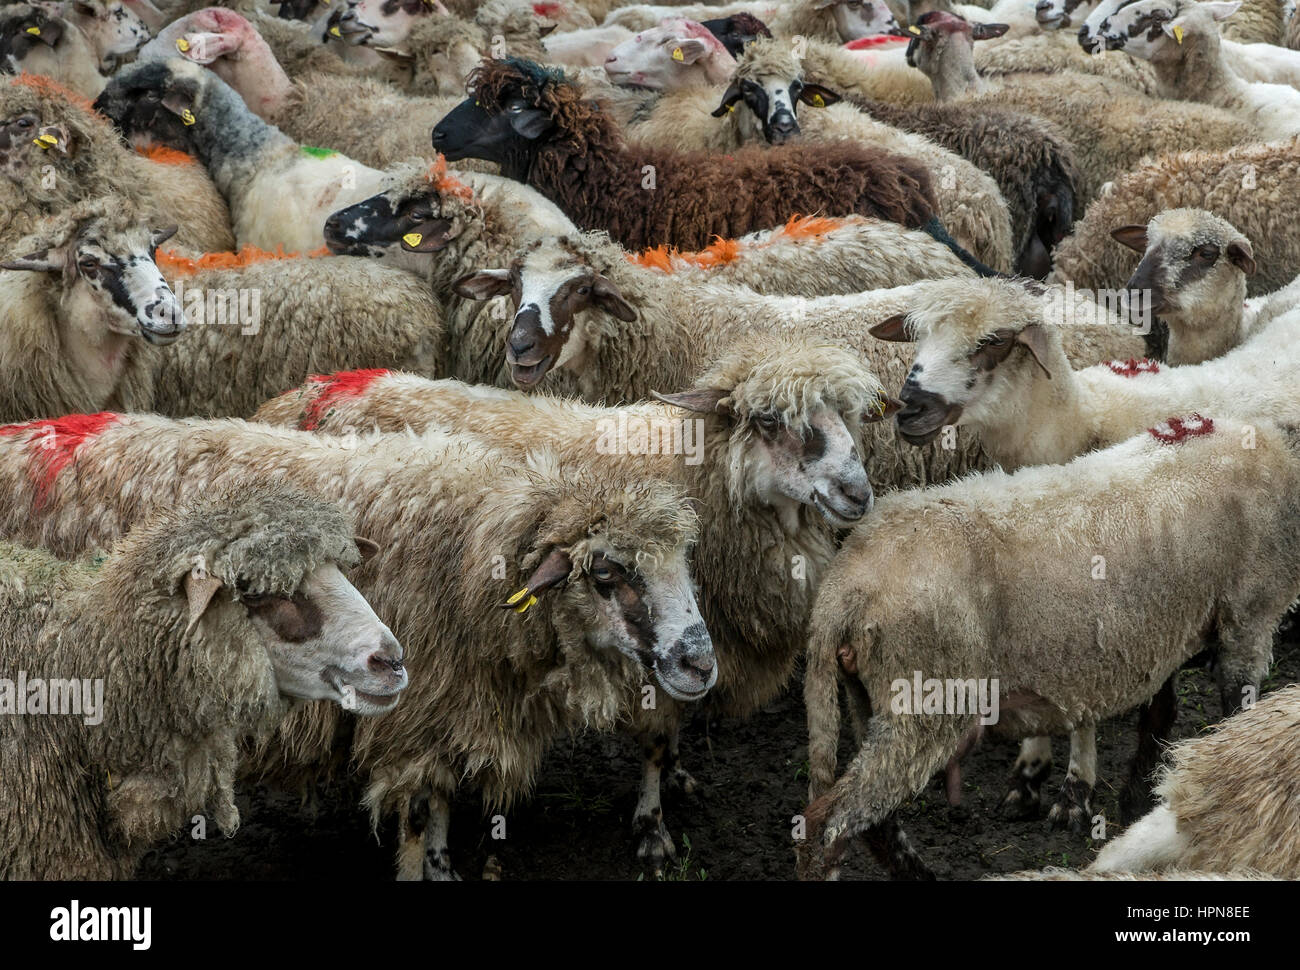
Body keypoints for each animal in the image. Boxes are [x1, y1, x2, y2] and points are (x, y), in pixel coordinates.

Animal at [253, 334, 893, 872]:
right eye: (768, 420)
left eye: (848, 417)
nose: (857, 493)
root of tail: (318, 387)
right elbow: (656, 735)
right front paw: (652, 828)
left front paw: (678, 774)